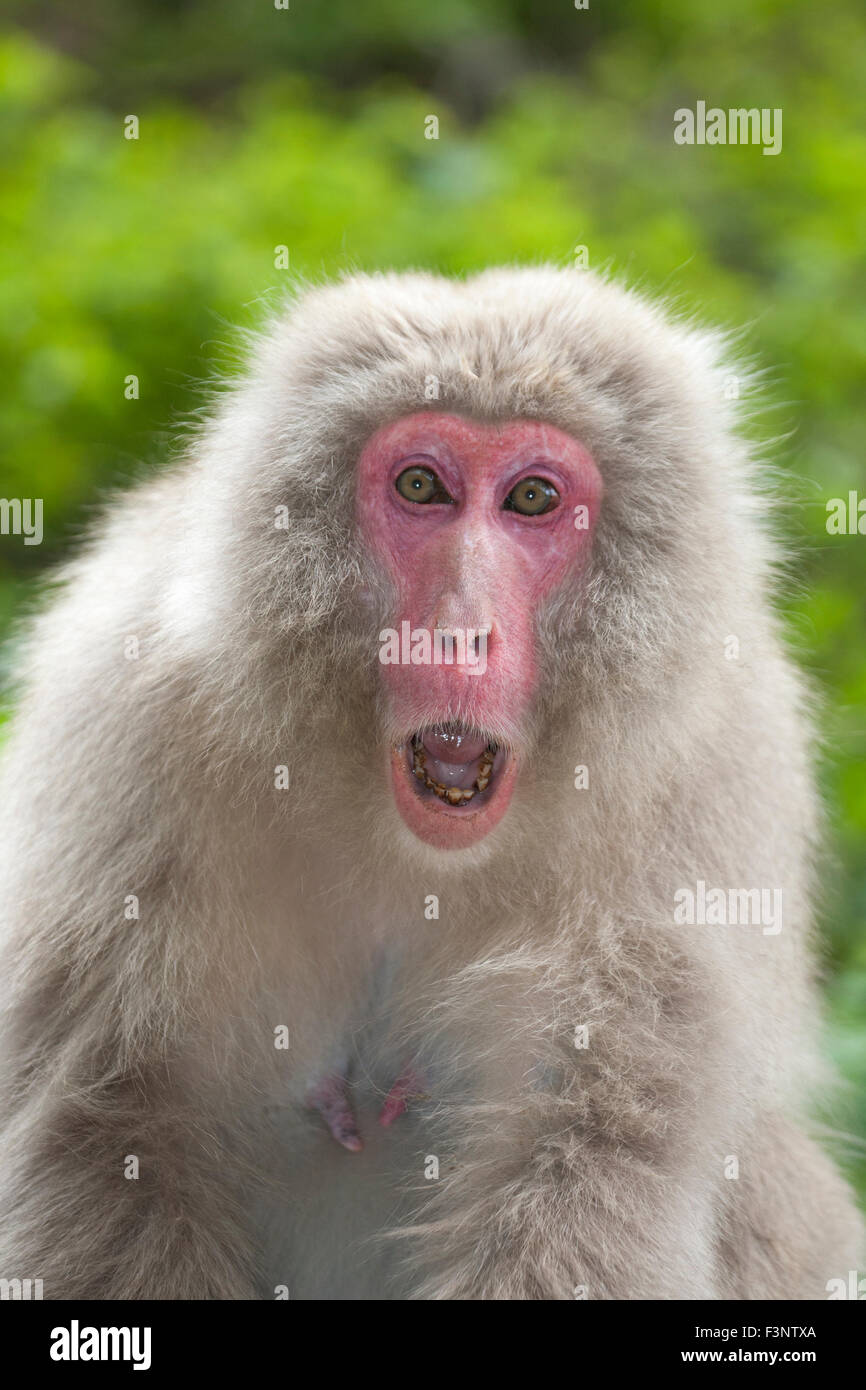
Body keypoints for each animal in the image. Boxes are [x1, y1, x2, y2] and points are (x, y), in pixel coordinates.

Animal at [0, 265, 861, 1301]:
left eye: (532, 497)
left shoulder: (704, 790)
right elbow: (107, 1137)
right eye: (422, 487)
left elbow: (583, 1158)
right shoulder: (120, 724)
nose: (456, 633)